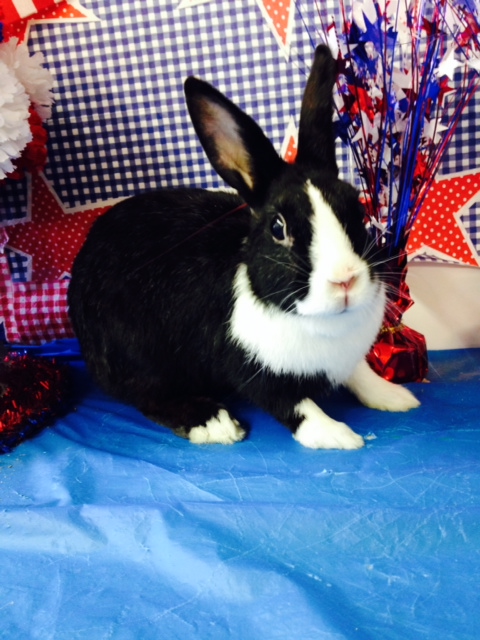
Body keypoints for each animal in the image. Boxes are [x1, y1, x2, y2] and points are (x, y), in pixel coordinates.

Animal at [68, 45, 420, 450]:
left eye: (358, 211)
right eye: (278, 227)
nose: (345, 280)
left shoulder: (348, 358)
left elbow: (360, 373)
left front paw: (395, 397)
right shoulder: (249, 367)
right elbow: (295, 404)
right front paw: (337, 435)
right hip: (135, 356)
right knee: (146, 396)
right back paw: (214, 422)